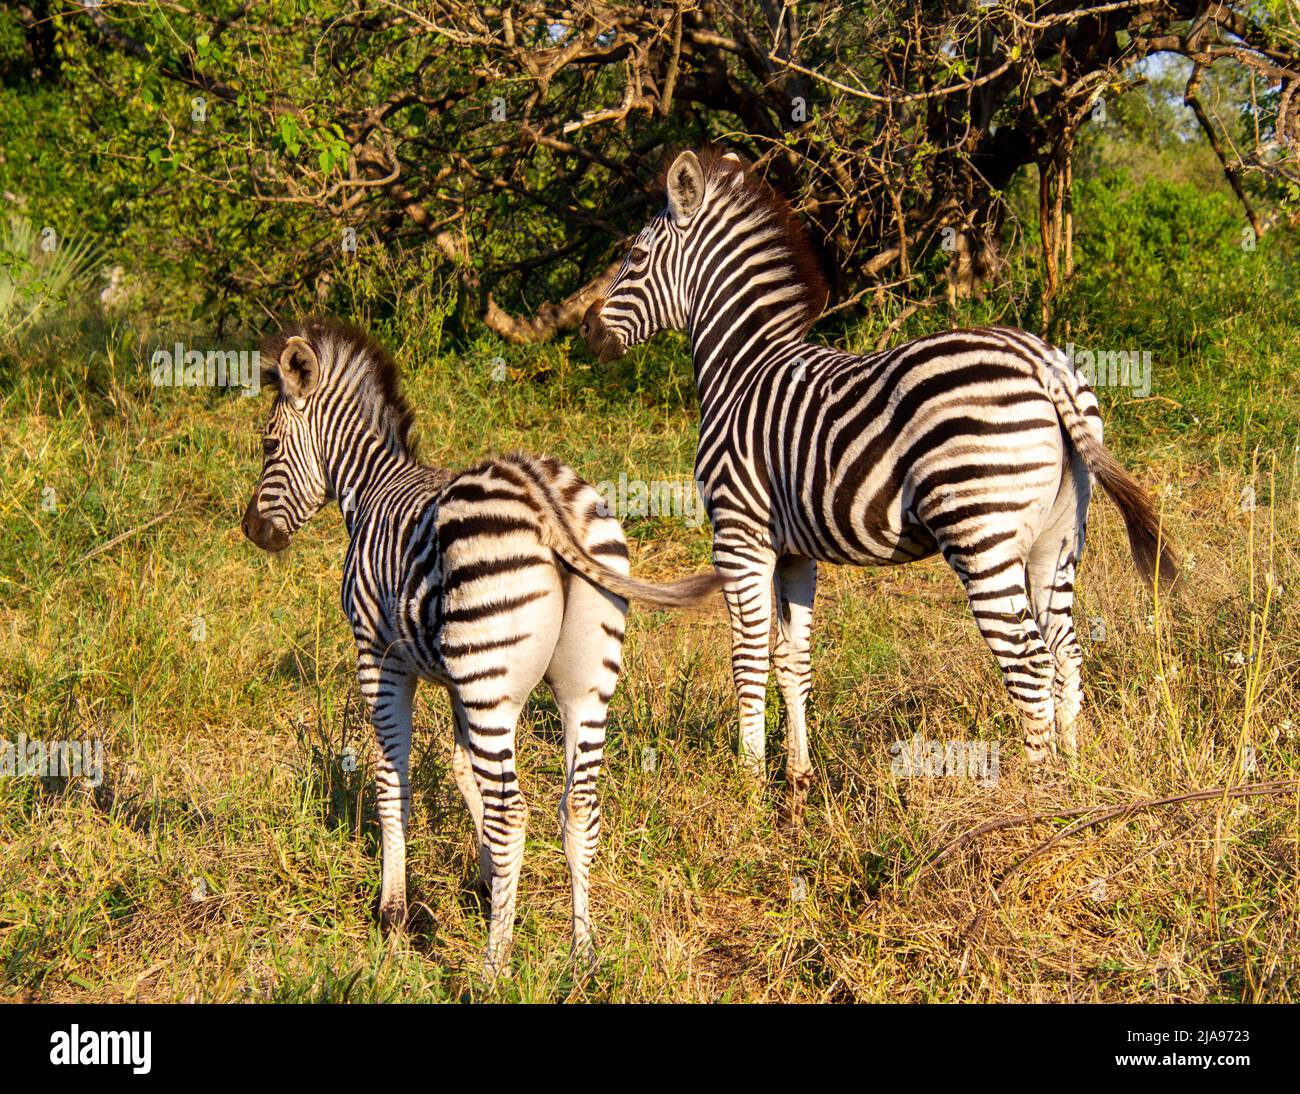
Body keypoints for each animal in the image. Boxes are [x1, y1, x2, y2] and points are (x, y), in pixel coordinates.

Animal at [240, 318, 725, 975]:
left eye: (268, 446)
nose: (252, 531)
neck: (370, 488)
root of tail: (541, 493)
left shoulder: (381, 657)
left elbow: (391, 778)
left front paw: (394, 915)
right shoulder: (454, 677)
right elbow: (461, 767)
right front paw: (487, 882)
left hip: (489, 679)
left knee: (513, 812)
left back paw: (496, 966)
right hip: (577, 682)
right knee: (579, 806)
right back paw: (582, 954)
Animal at [581, 148, 1178, 825]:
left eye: (634, 258)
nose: (587, 334)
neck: (741, 370)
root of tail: (1042, 362)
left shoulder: (739, 536)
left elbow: (748, 660)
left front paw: (748, 788)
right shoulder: (796, 552)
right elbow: (793, 662)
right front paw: (798, 781)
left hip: (981, 535)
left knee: (1028, 661)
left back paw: (1034, 798)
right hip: (1058, 537)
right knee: (1066, 653)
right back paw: (1072, 783)